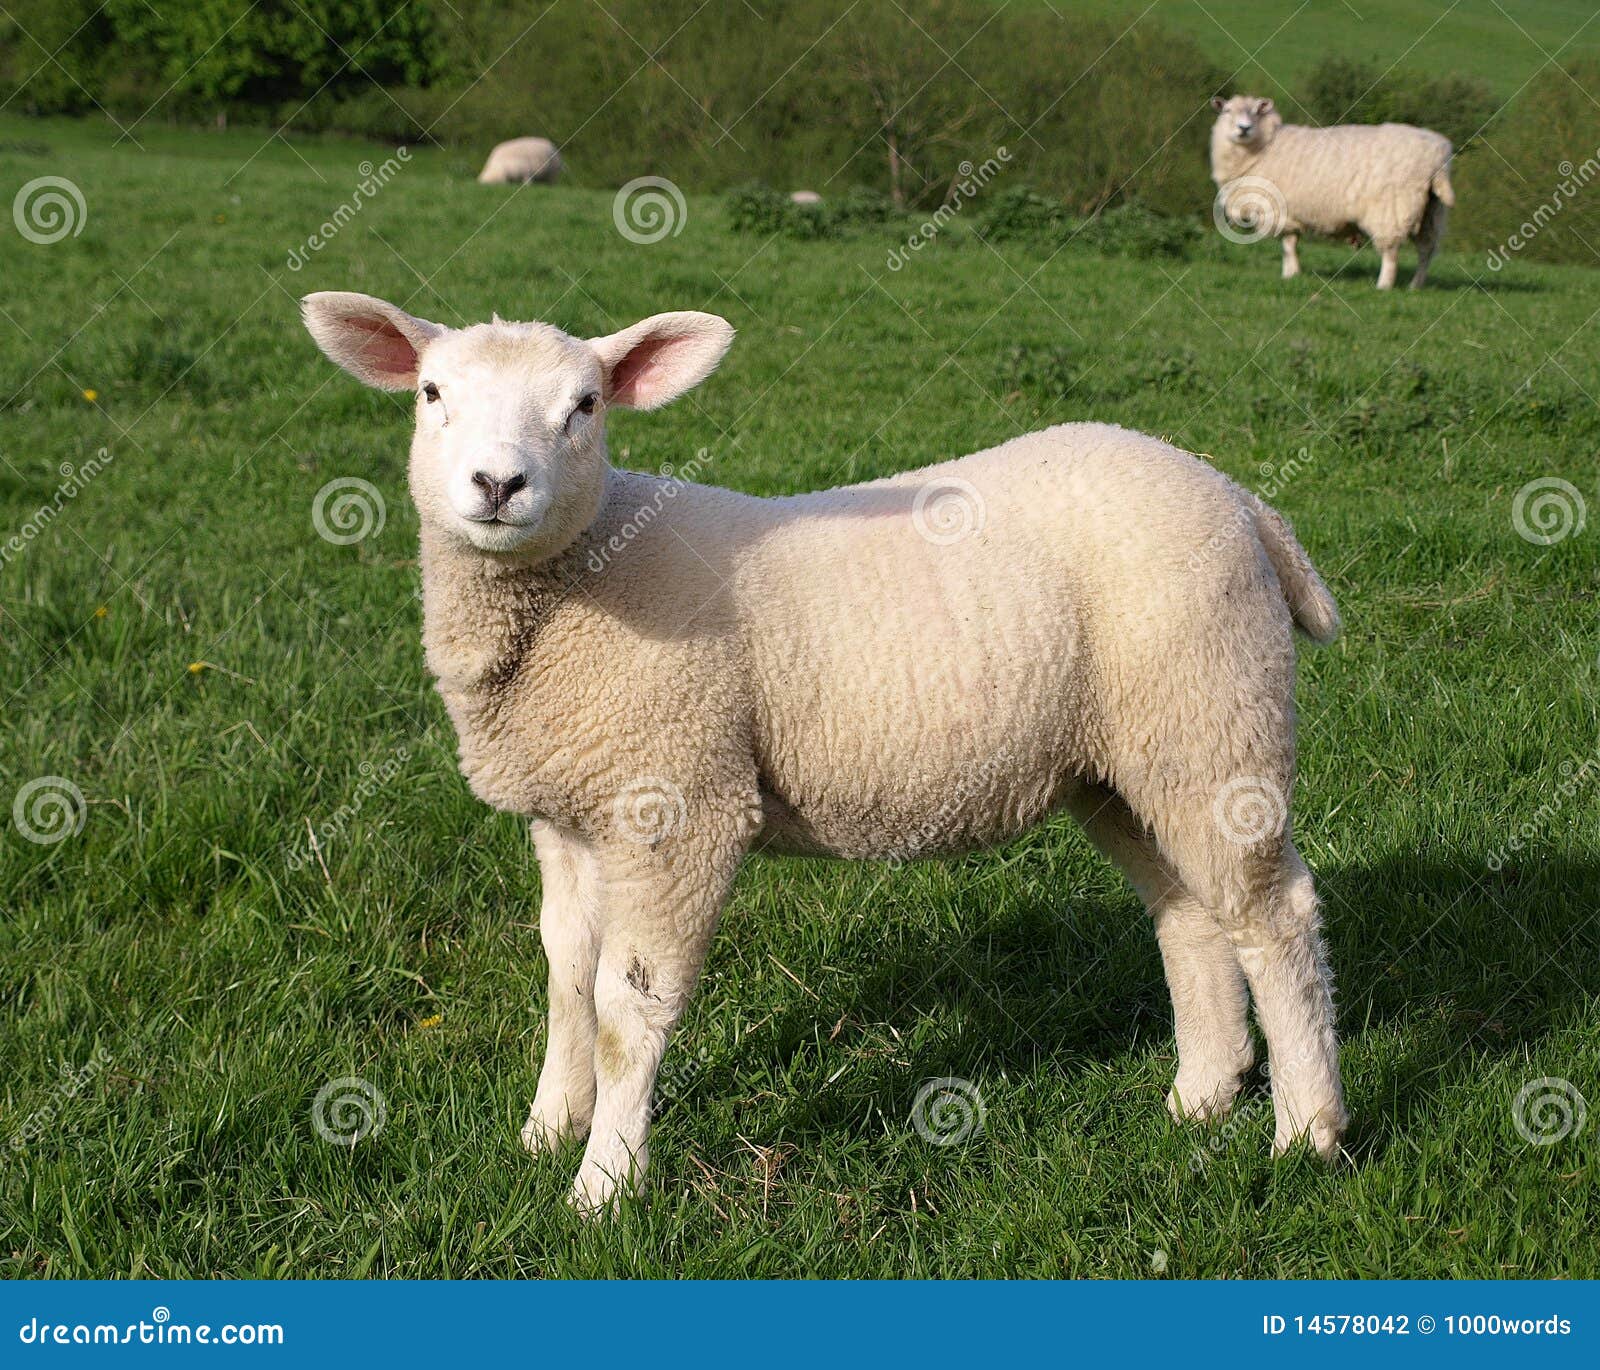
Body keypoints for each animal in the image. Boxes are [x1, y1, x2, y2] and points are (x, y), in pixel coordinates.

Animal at [300, 291, 1350, 1213]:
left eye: (586, 406)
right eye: (432, 392)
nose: (497, 485)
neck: (580, 584)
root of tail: (1236, 494)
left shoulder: (678, 801)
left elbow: (628, 1009)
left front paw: (604, 1187)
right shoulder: (571, 809)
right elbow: (567, 978)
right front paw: (547, 1129)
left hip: (1215, 716)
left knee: (1275, 916)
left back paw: (1307, 1130)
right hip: (1125, 761)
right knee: (1191, 913)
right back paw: (1202, 1096)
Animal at [1210, 94, 1454, 289]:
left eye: (1256, 112)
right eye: (1227, 110)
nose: (1244, 128)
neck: (1264, 146)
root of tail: (1438, 156)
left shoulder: (1279, 209)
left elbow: (1288, 245)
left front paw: (1290, 273)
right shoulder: (1290, 211)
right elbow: (1291, 242)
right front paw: (1291, 275)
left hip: (1391, 208)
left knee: (1391, 252)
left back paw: (1383, 286)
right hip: (1432, 211)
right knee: (1426, 250)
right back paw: (1415, 286)